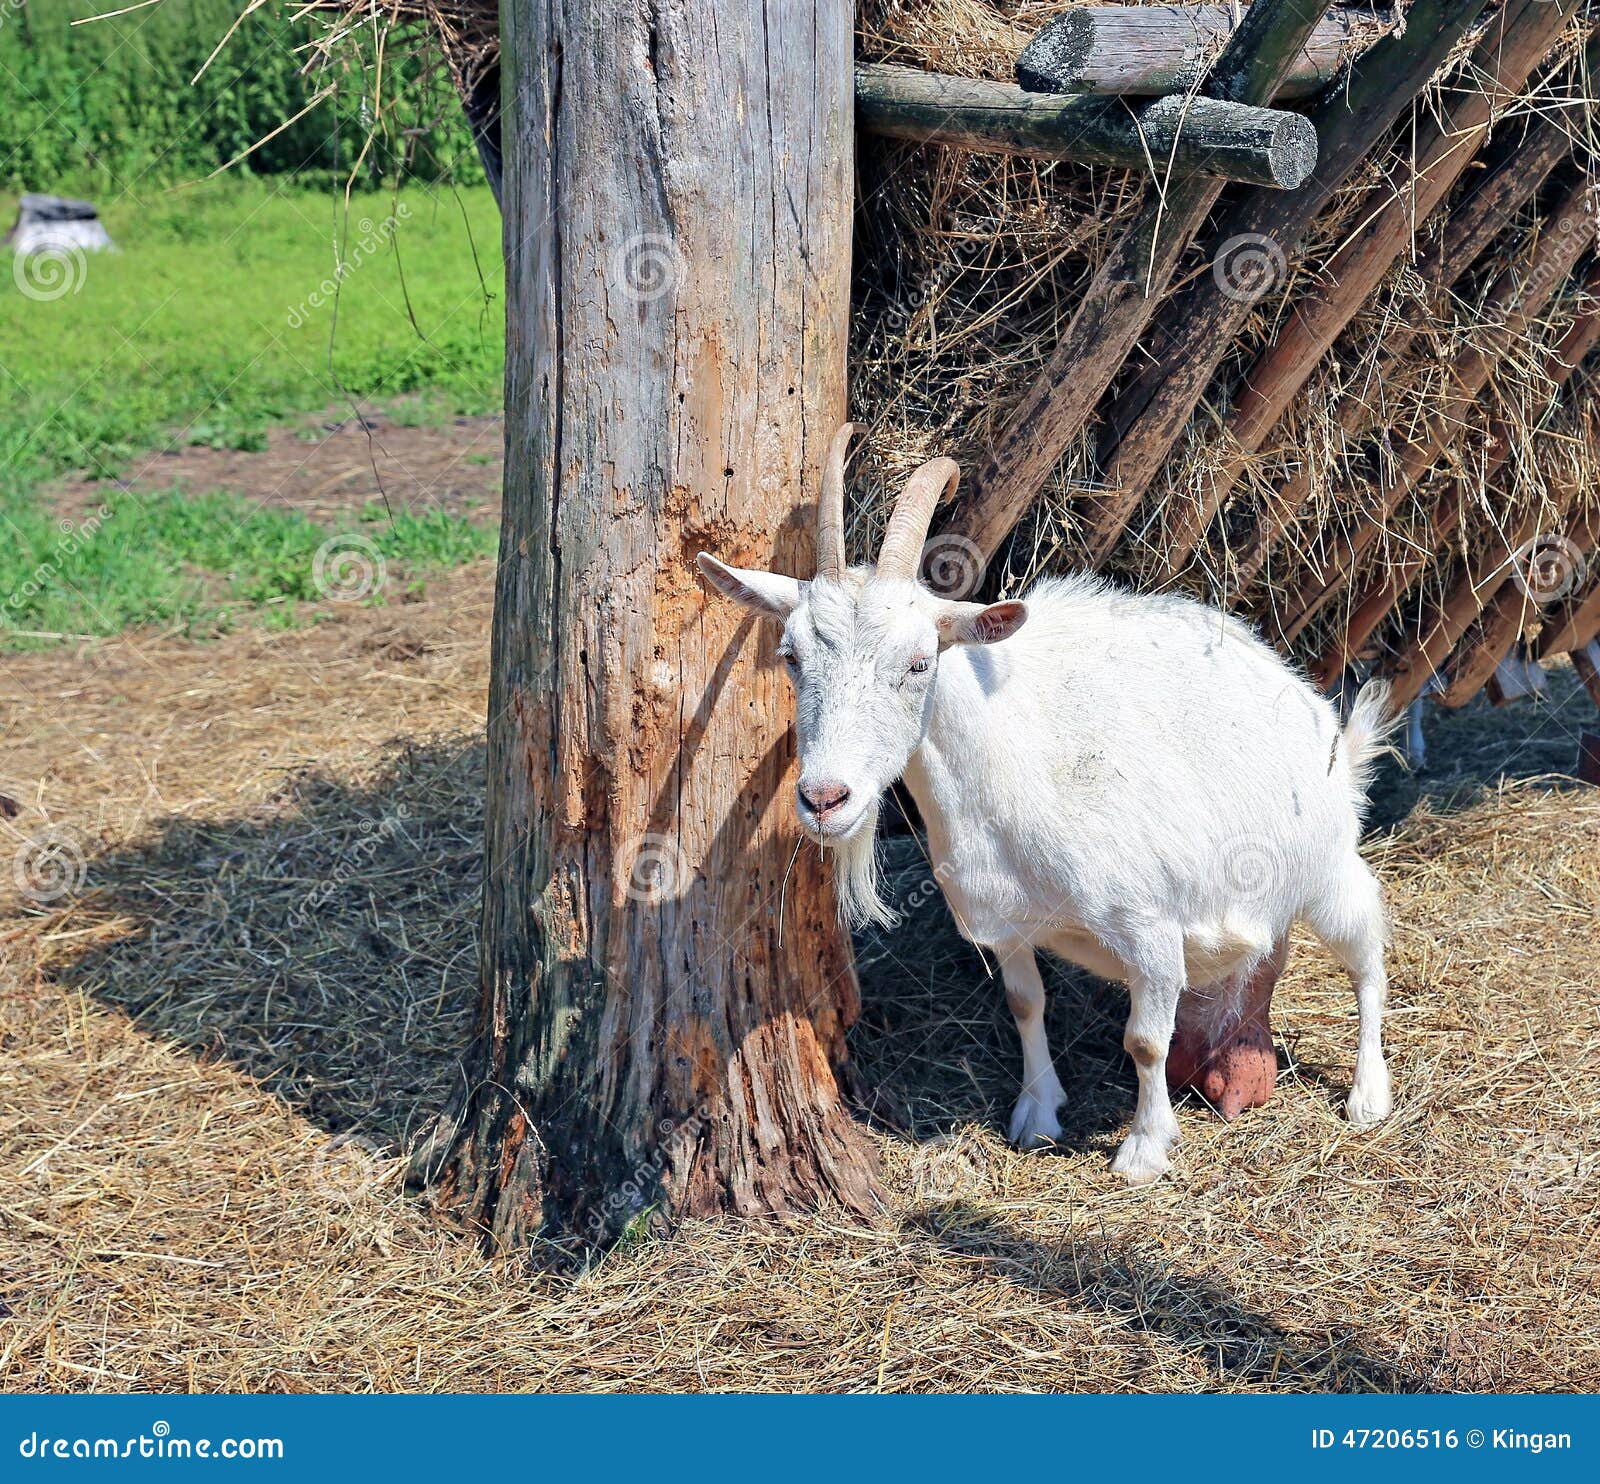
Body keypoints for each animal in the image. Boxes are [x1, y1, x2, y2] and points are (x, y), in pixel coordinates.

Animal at [698, 425, 1397, 1183]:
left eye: (919, 662)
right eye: (791, 656)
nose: (825, 798)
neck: (1009, 768)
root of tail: (1318, 716)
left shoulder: (1150, 927)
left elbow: (1144, 1040)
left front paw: (1144, 1149)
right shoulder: (1003, 921)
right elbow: (1025, 1002)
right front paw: (1037, 1112)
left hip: (1330, 867)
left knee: (1366, 955)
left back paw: (1368, 1095)